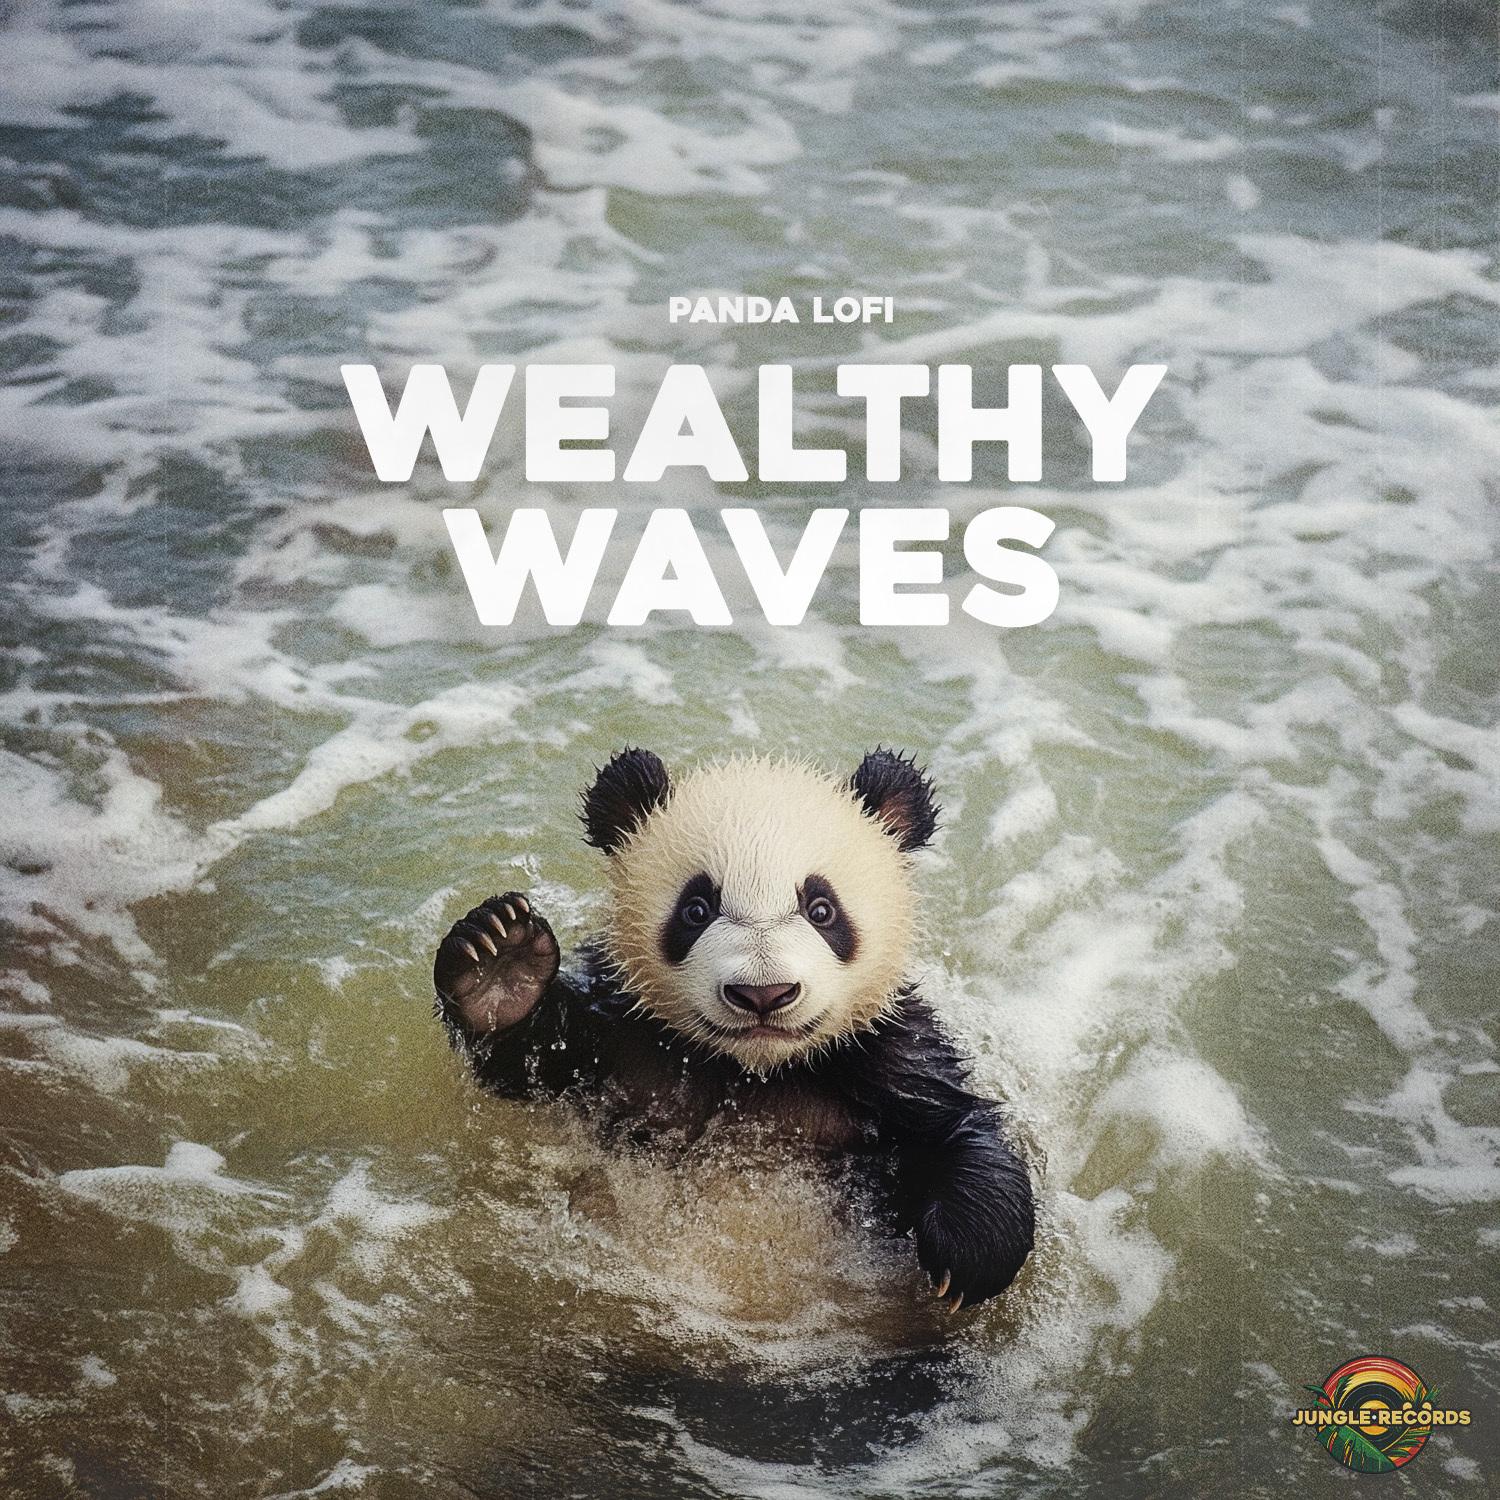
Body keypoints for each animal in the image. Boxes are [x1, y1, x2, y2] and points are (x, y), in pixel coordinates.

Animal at [433, 747, 1035, 1309]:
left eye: (822, 909)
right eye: (696, 909)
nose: (763, 994)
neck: (754, 1070)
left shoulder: (878, 1048)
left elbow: (953, 1124)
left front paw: (967, 1256)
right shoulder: (624, 1035)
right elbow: (536, 1063)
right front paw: (500, 963)